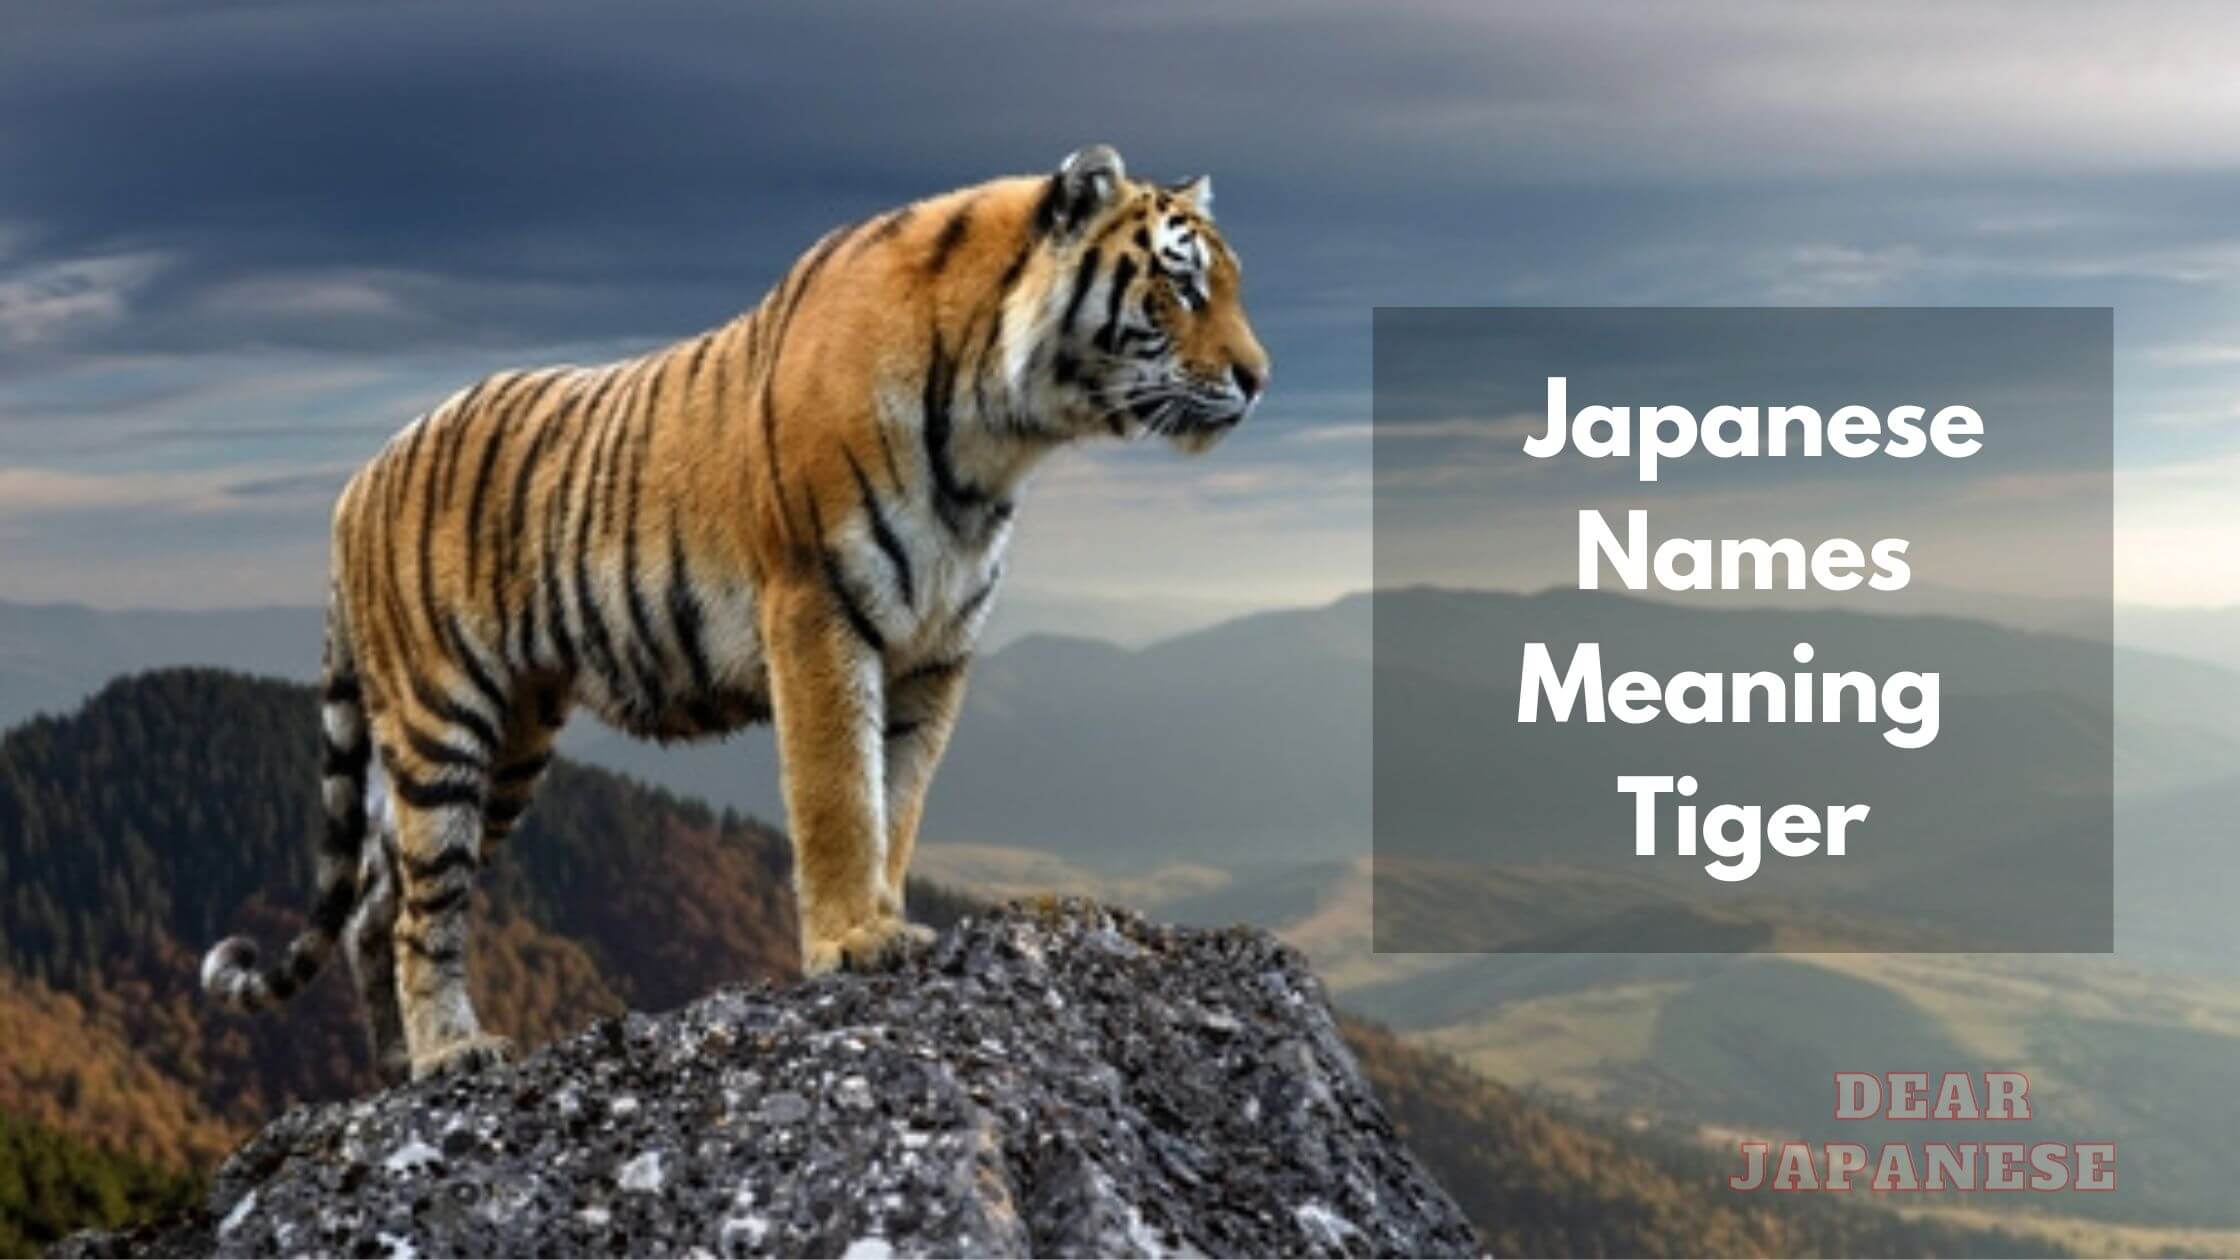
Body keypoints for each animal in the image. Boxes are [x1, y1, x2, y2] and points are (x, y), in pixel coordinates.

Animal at [199, 145, 1270, 1083]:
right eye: (1179, 287)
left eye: (1233, 285)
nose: (1260, 380)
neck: (997, 441)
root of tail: (353, 485)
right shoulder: (818, 612)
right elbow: (840, 794)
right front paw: (853, 941)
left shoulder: (935, 653)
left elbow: (899, 800)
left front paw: (886, 916)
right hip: (442, 720)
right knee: (424, 908)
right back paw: (451, 1054)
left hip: (511, 742)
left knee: (377, 905)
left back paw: (394, 1072)